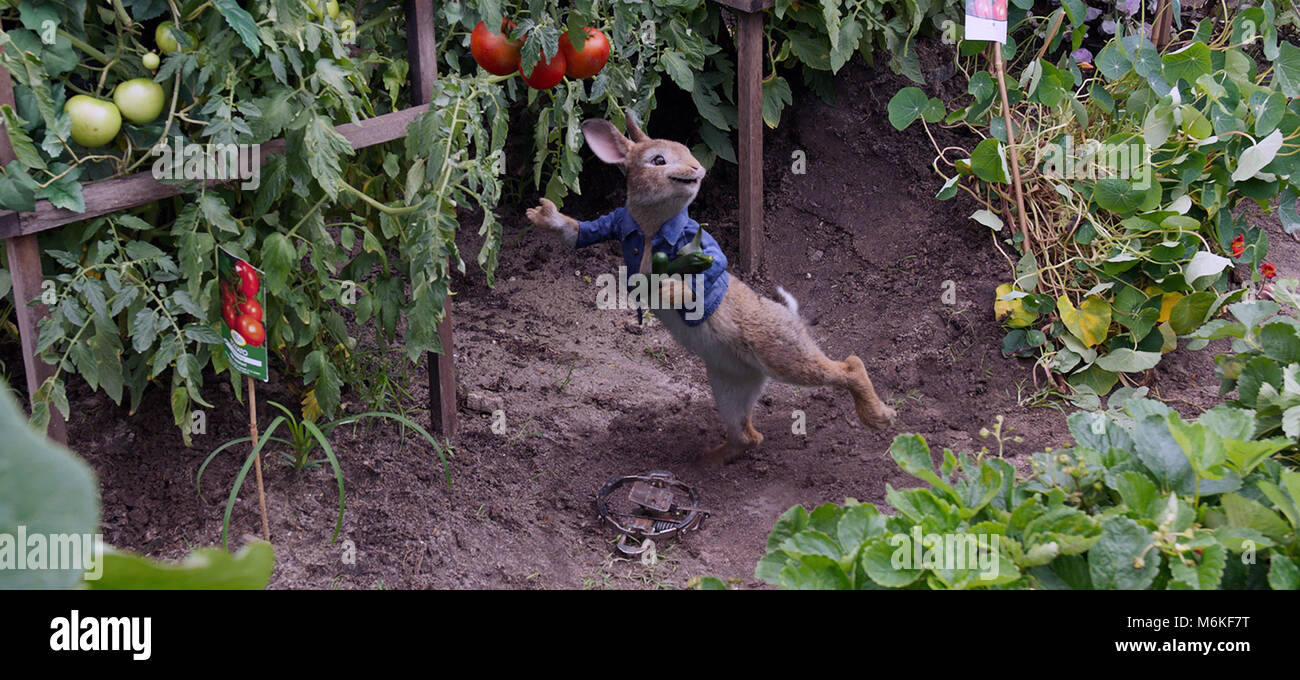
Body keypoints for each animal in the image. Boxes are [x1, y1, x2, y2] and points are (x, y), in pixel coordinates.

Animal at [526, 115, 896, 466]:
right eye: (658, 160)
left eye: (688, 152)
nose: (696, 169)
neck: (651, 229)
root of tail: (792, 318)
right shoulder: (617, 223)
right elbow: (583, 231)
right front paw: (542, 214)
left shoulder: (699, 249)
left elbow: (709, 269)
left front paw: (668, 290)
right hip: (729, 385)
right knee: (748, 436)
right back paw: (707, 462)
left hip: (782, 355)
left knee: (848, 367)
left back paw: (879, 417)